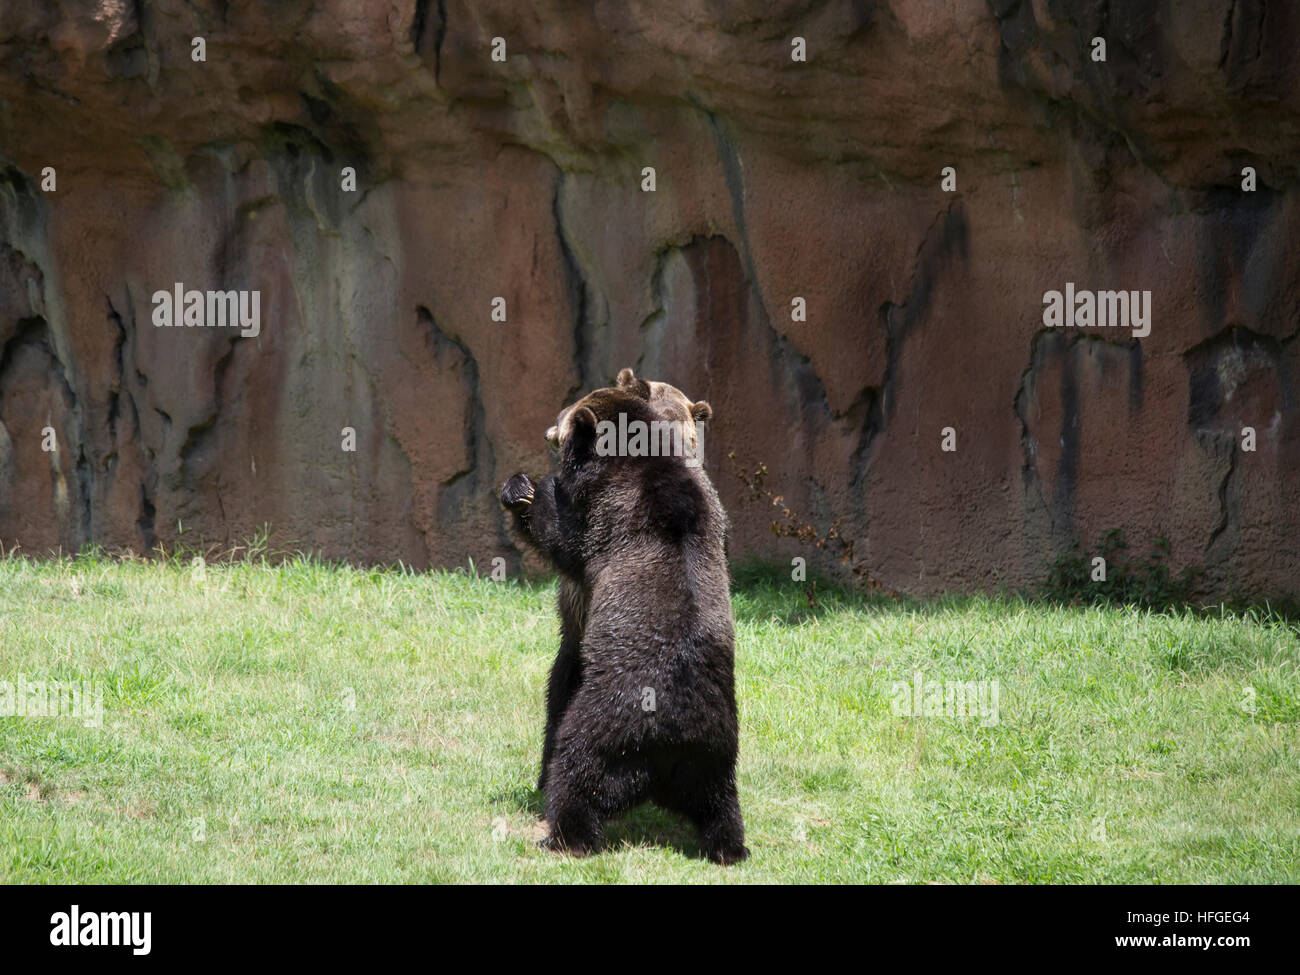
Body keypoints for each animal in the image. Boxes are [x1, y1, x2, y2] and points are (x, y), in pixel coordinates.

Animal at [500, 369, 747, 864]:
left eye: (566, 413)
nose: (548, 430)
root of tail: (670, 745)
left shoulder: (606, 512)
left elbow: (564, 541)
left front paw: (526, 491)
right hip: (717, 748)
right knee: (720, 802)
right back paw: (729, 846)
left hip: (608, 721)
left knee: (578, 766)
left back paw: (562, 835)